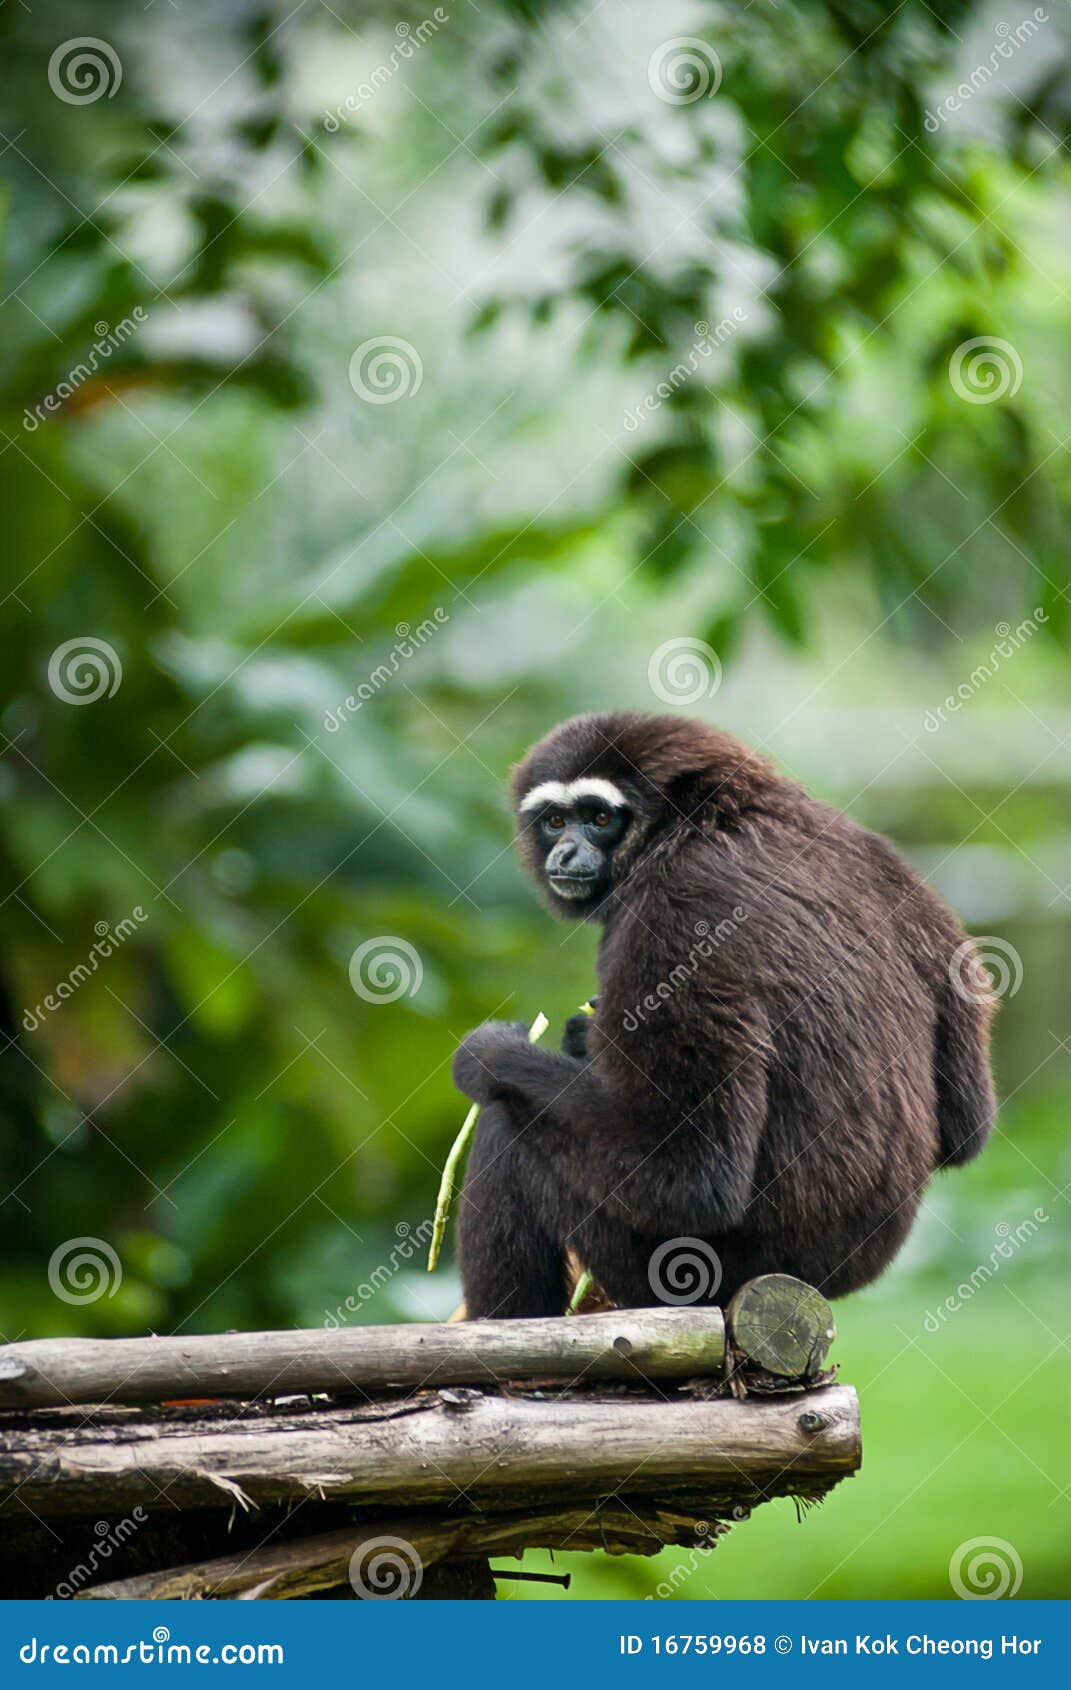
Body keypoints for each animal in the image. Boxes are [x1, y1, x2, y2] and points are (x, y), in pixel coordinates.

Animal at [452, 710, 996, 1320]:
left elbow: (693, 1175)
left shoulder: (673, 913)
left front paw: (489, 1053)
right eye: (554, 821)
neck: (706, 823)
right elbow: (968, 1128)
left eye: (598, 818)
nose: (565, 854)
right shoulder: (877, 856)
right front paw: (578, 1034)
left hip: (669, 1266)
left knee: (507, 1125)